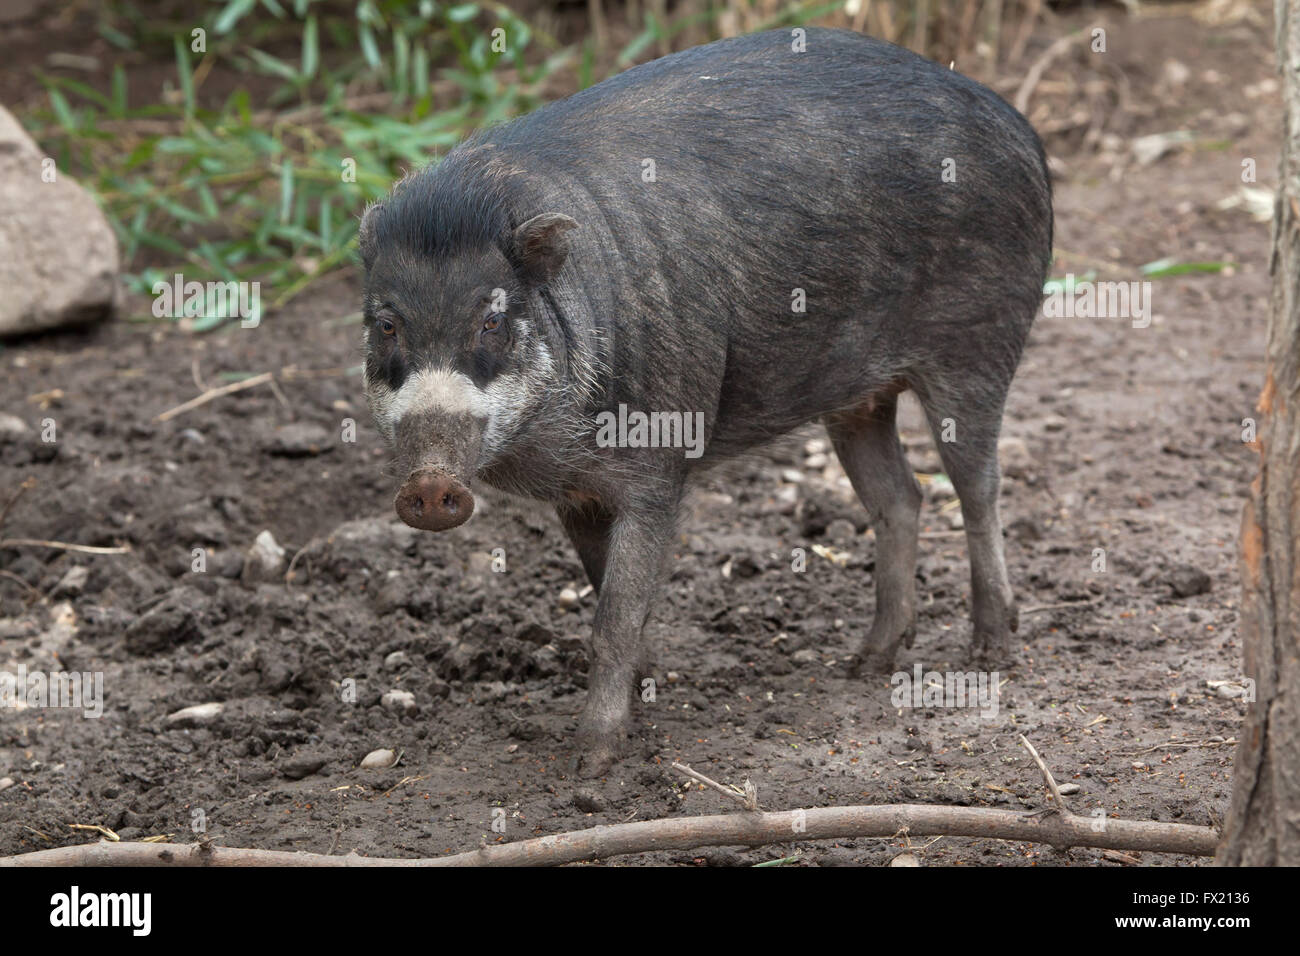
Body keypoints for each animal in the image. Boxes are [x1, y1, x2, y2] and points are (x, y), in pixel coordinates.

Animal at [358, 26, 1053, 774]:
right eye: (387, 324)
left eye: (491, 321)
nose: (431, 487)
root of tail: (1017, 122)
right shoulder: (578, 493)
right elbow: (608, 595)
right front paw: (647, 688)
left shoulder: (656, 466)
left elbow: (613, 616)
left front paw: (591, 764)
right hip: (857, 398)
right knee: (901, 497)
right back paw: (864, 664)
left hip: (979, 346)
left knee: (978, 488)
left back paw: (991, 651)